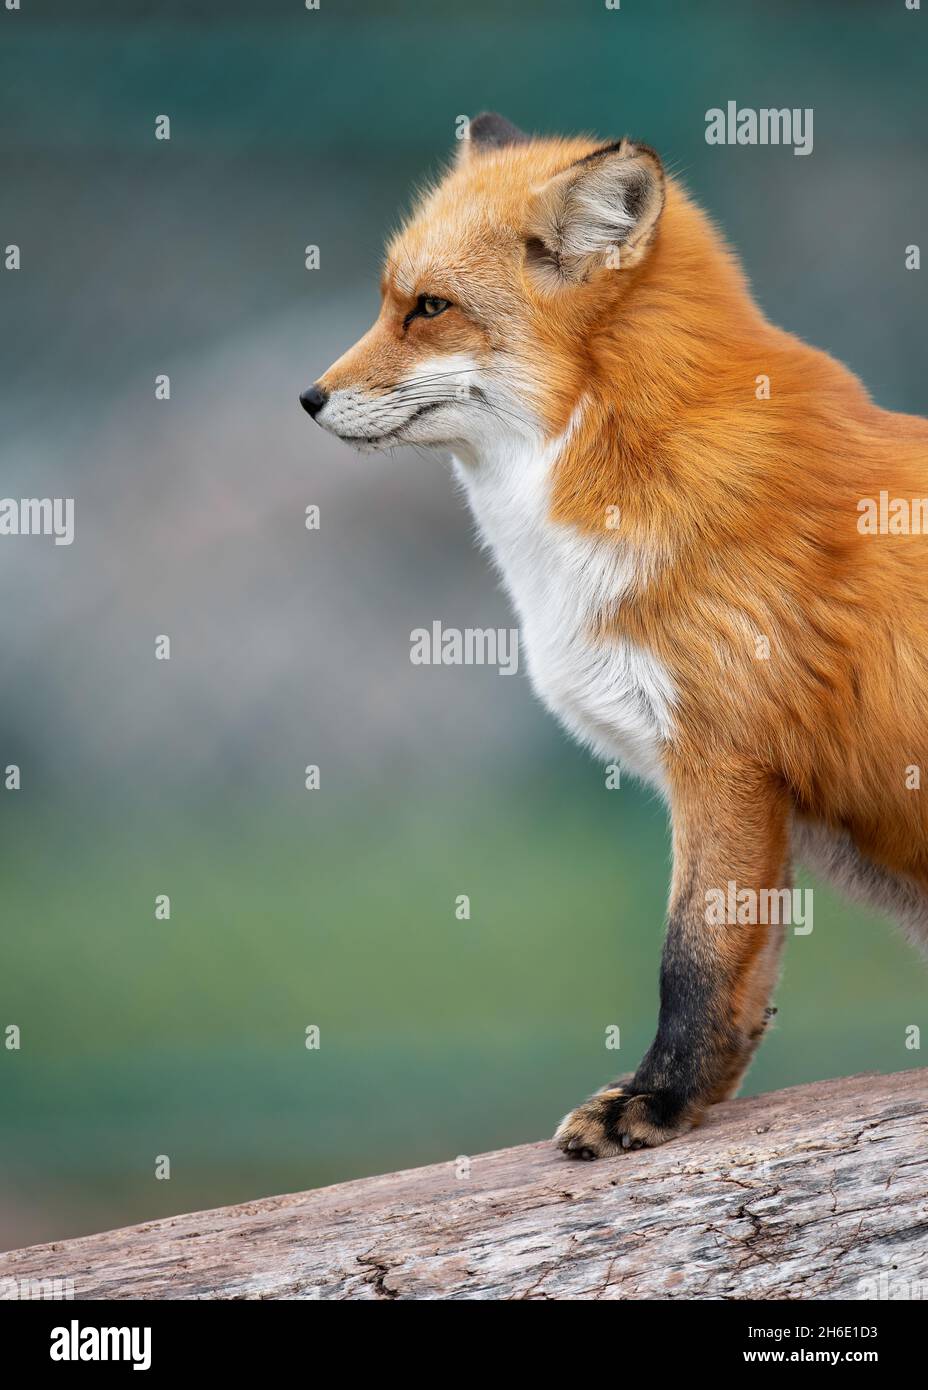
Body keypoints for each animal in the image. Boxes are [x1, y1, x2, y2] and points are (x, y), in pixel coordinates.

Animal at [301, 113, 928, 1158]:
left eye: (428, 308)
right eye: (393, 304)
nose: (307, 399)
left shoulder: (724, 760)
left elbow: (694, 960)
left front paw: (655, 1103)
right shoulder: (757, 796)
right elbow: (742, 990)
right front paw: (686, 1099)